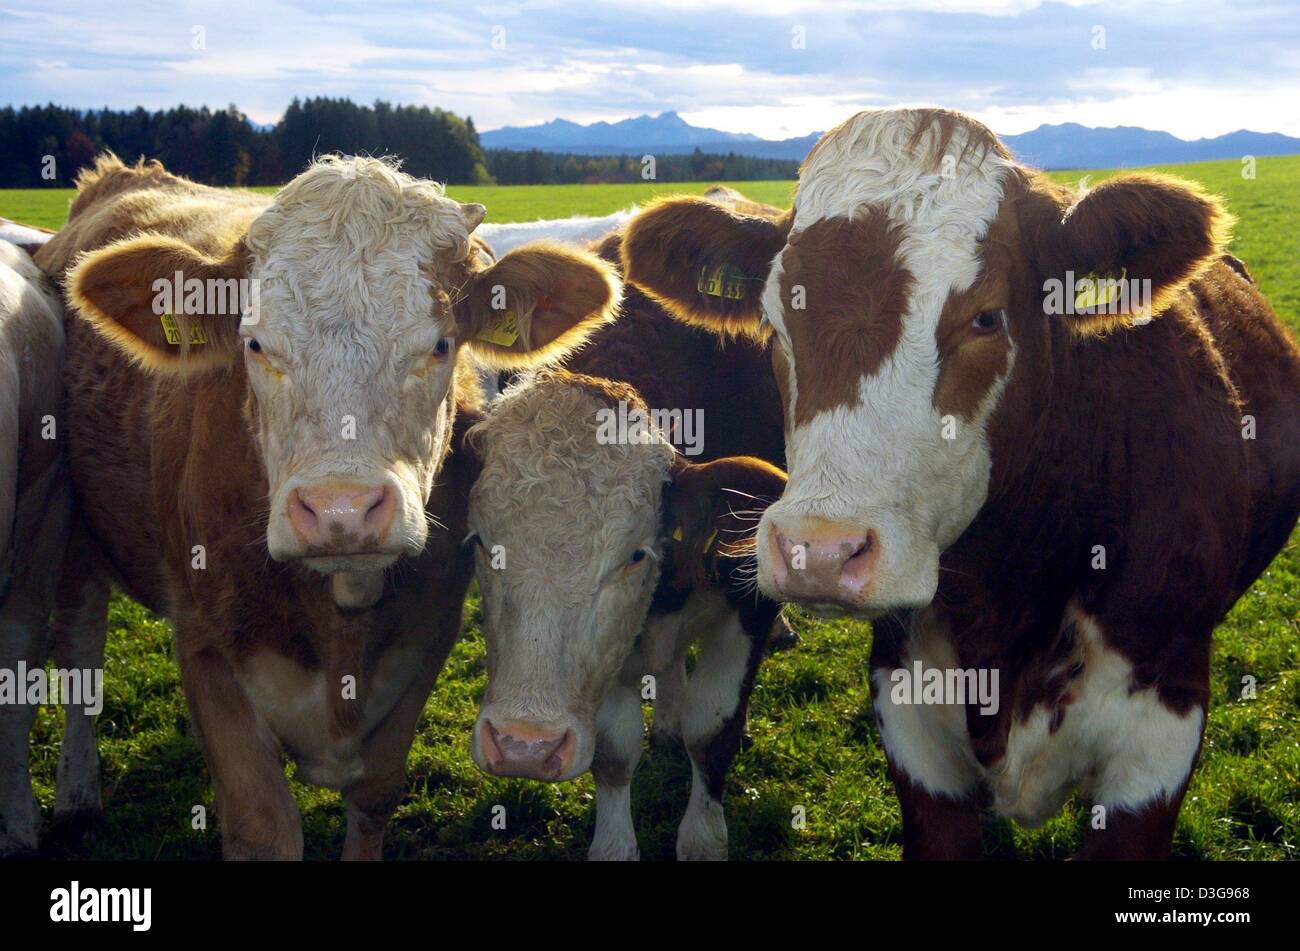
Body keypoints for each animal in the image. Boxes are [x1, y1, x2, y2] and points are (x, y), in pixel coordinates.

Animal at [33, 153, 621, 859]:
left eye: (441, 345)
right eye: (254, 345)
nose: (342, 510)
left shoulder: (424, 644)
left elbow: (374, 795)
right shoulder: (204, 649)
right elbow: (262, 824)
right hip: (72, 534)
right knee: (81, 652)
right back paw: (76, 796)